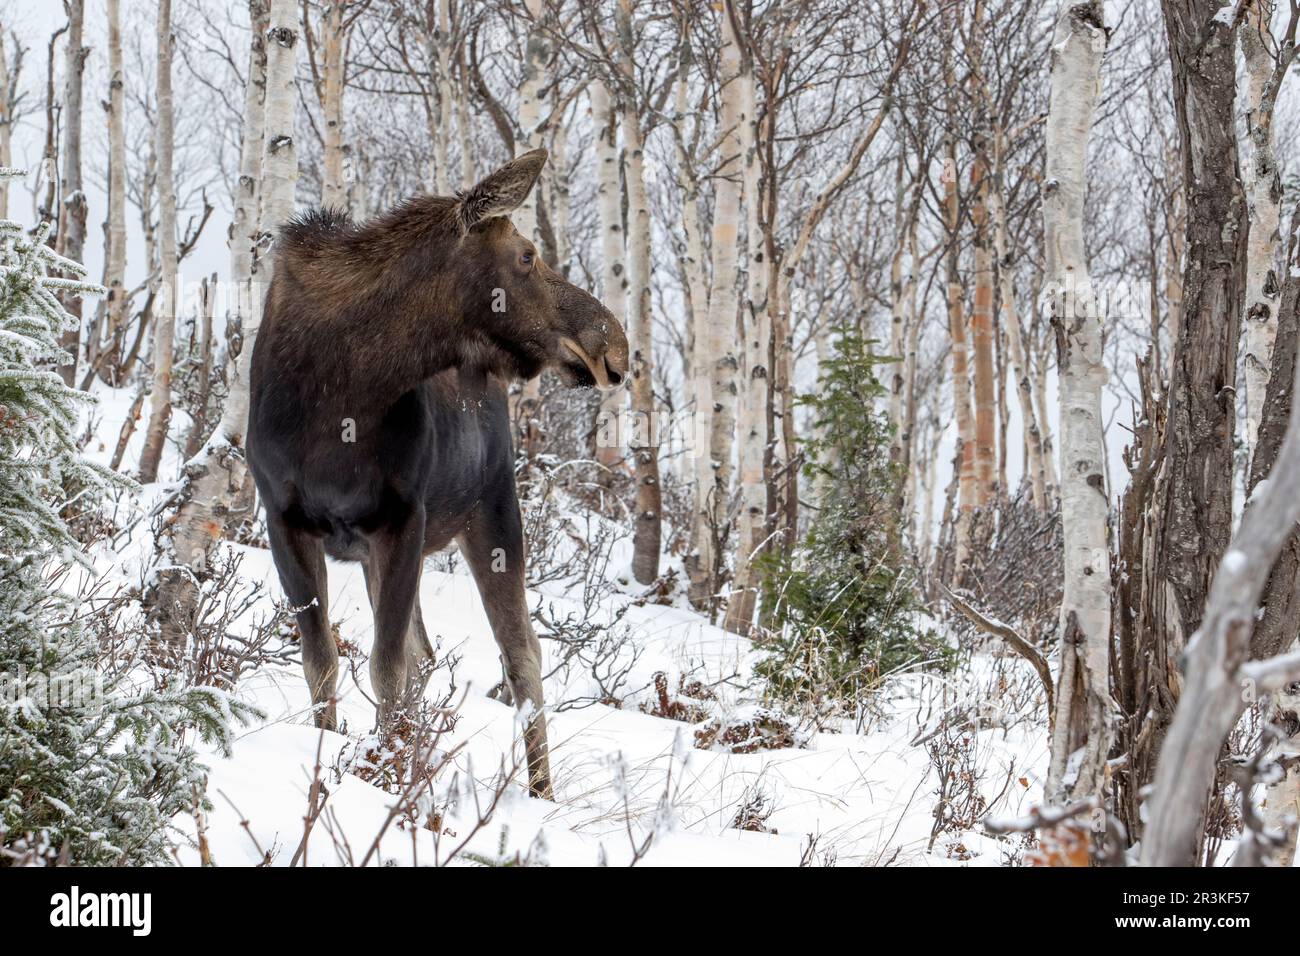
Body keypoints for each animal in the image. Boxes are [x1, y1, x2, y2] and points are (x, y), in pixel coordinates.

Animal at [247, 150, 628, 799]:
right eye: (527, 255)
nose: (615, 345)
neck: (340, 396)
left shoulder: (404, 518)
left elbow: (386, 666)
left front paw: (386, 767)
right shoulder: (285, 519)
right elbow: (323, 663)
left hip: (494, 514)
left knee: (520, 652)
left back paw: (540, 791)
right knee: (430, 652)